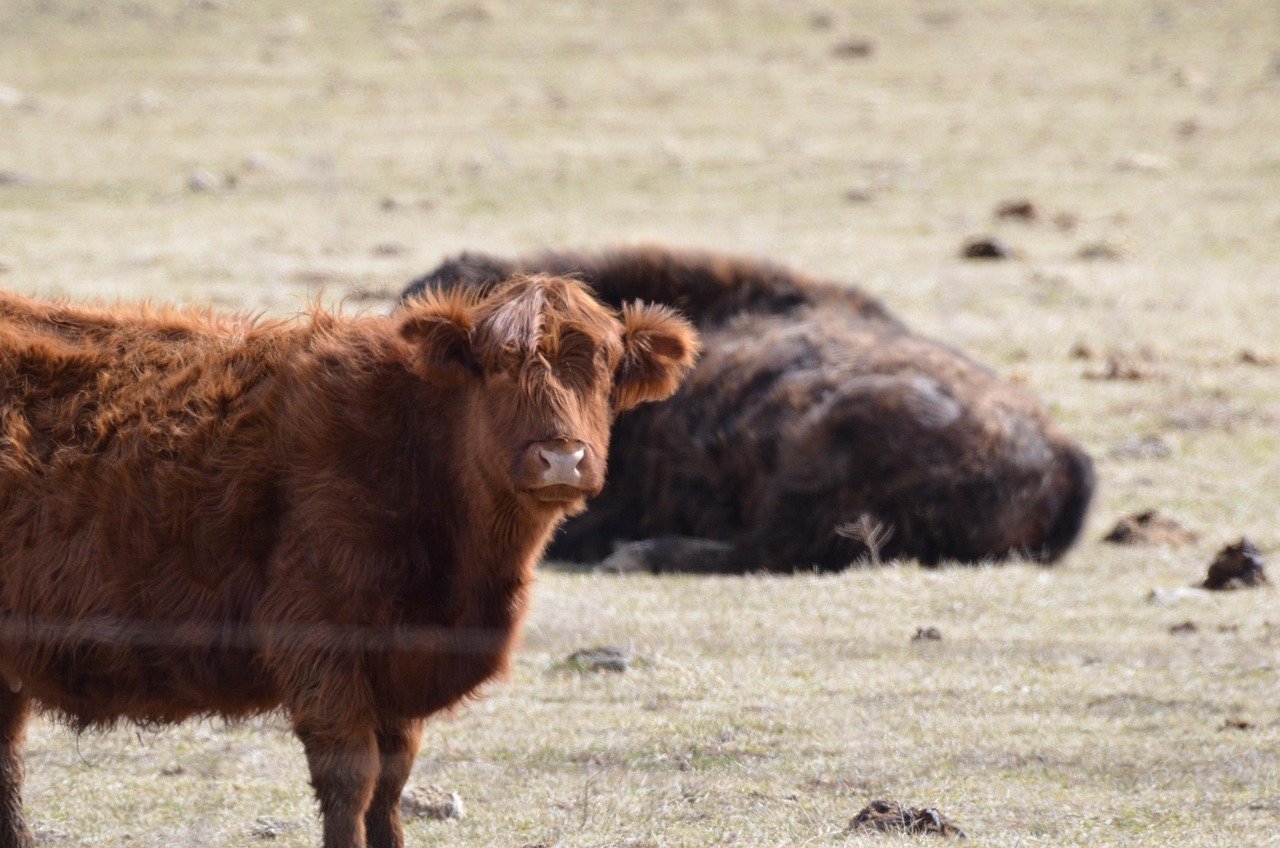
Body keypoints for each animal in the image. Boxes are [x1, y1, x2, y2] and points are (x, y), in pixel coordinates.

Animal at [0, 275, 698, 848]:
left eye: (606, 366)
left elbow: (392, 783)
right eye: (499, 366)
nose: (561, 457)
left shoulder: (398, 670)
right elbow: (351, 782)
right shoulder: (322, 646)